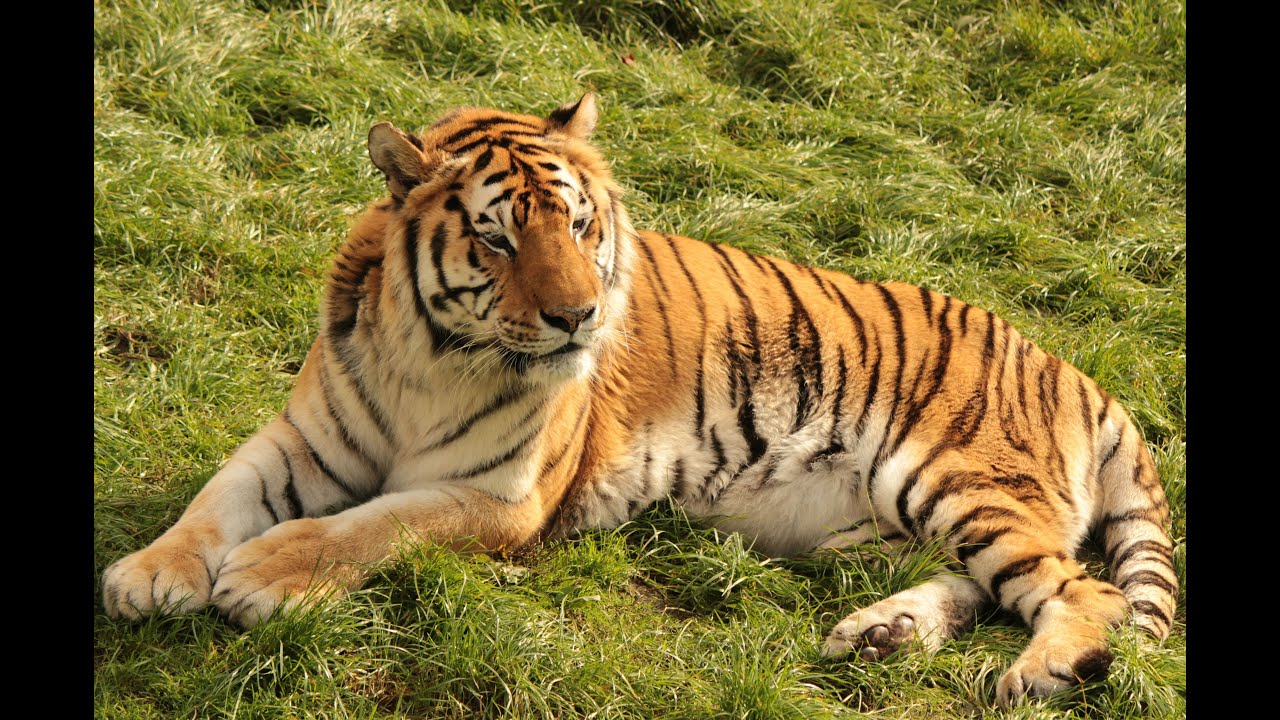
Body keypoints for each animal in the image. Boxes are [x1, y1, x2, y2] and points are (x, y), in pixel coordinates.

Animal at [101, 93, 1178, 707]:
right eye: (496, 238)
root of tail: (1085, 377)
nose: (578, 315)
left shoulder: (501, 497)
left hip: (955, 478)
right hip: (895, 526)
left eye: (580, 225)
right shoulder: (299, 440)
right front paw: (150, 575)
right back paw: (881, 634)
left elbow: (368, 526)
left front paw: (262, 574)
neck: (429, 358)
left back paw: (1042, 671)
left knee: (1083, 594)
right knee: (993, 584)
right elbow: (212, 501)